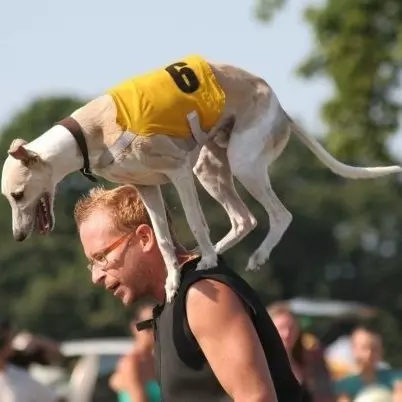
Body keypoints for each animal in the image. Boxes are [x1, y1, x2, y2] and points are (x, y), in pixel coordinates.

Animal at [1, 55, 400, 302]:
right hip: (210, 167)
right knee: (244, 219)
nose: (17, 237)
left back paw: (245, 256)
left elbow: (195, 221)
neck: (88, 132)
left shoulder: (177, 171)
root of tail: (283, 110)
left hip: (241, 162)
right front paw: (173, 280)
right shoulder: (148, 187)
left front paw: (203, 263)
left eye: (18, 195)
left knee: (278, 214)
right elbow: (163, 239)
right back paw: (206, 254)